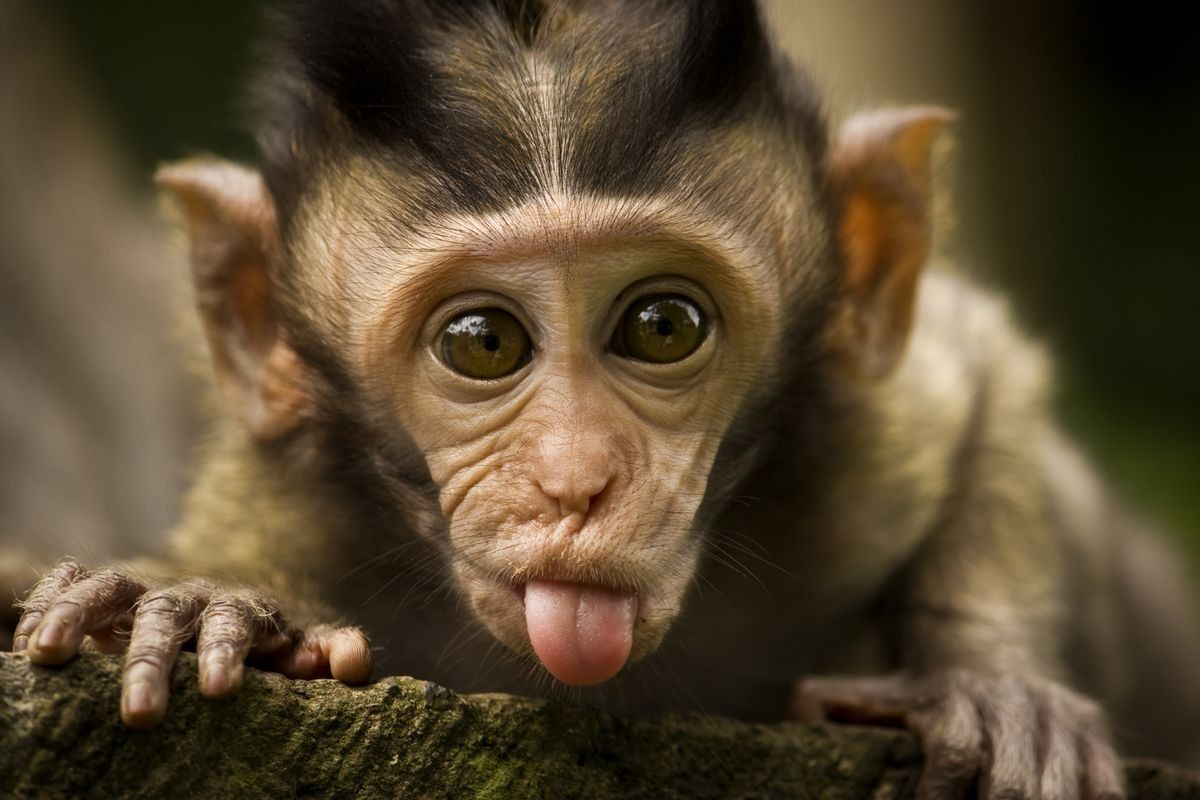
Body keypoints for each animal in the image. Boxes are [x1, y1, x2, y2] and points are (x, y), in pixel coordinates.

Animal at [11, 1, 1200, 797]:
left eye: (661, 326)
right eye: (483, 342)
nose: (576, 481)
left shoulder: (866, 449)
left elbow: (986, 372)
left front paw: (991, 683)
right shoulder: (289, 496)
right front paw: (212, 602)